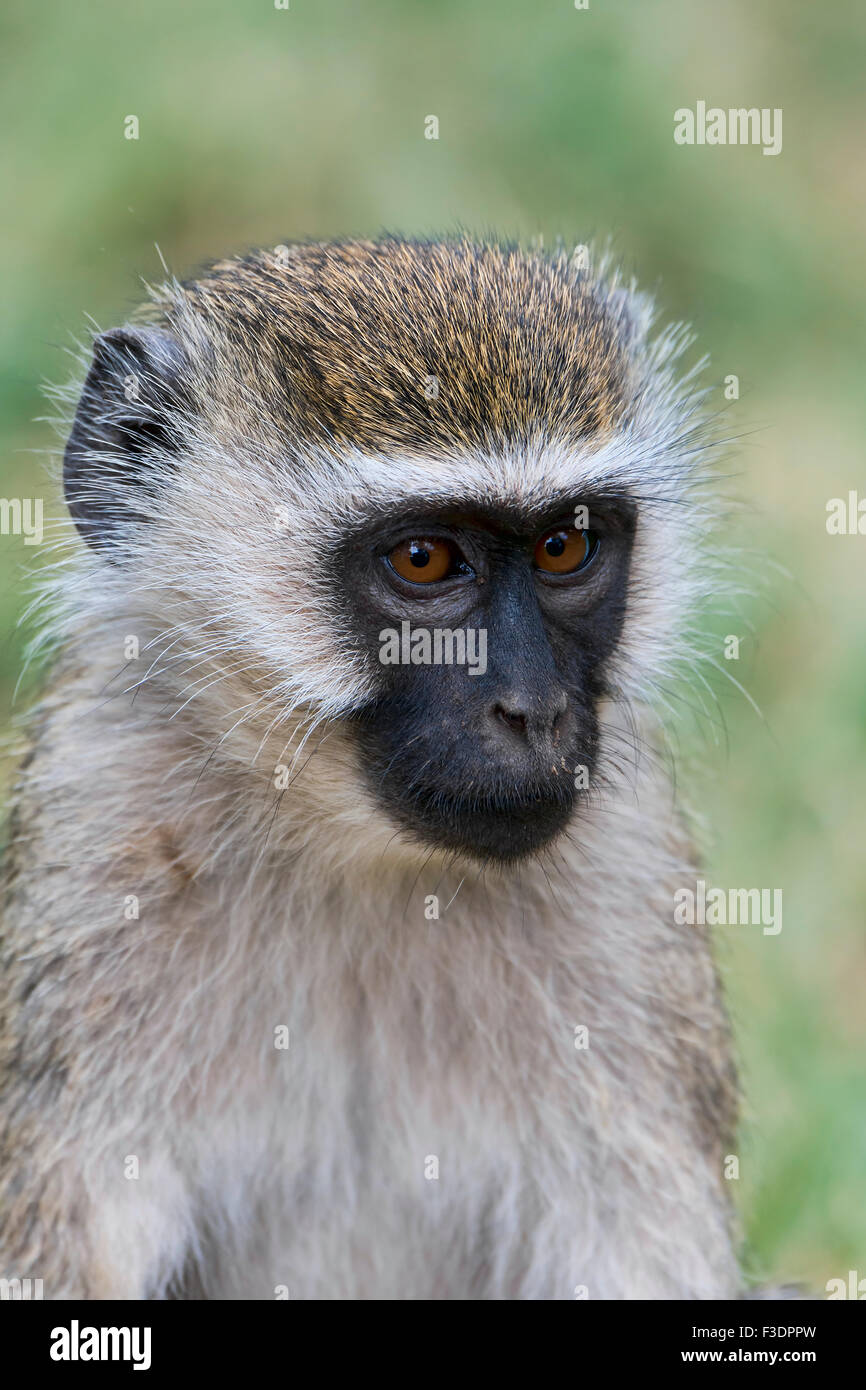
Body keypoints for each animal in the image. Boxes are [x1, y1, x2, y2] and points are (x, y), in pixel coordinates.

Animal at [0, 236, 749, 1300]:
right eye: (426, 559)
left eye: (566, 544)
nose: (536, 709)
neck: (357, 859)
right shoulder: (97, 823)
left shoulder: (632, 879)